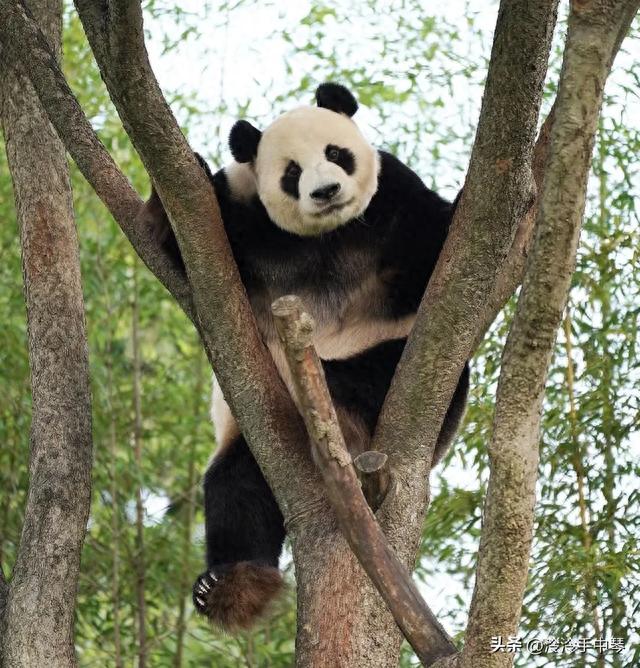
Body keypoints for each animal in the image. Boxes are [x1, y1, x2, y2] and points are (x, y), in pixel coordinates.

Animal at [140, 83, 469, 631]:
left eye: (336, 153)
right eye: (292, 173)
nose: (326, 191)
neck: (326, 235)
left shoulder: (395, 199)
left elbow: (429, 263)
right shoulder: (241, 213)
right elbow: (185, 255)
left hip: (408, 372)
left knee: (378, 370)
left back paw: (336, 389)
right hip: (254, 438)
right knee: (237, 487)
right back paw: (230, 586)